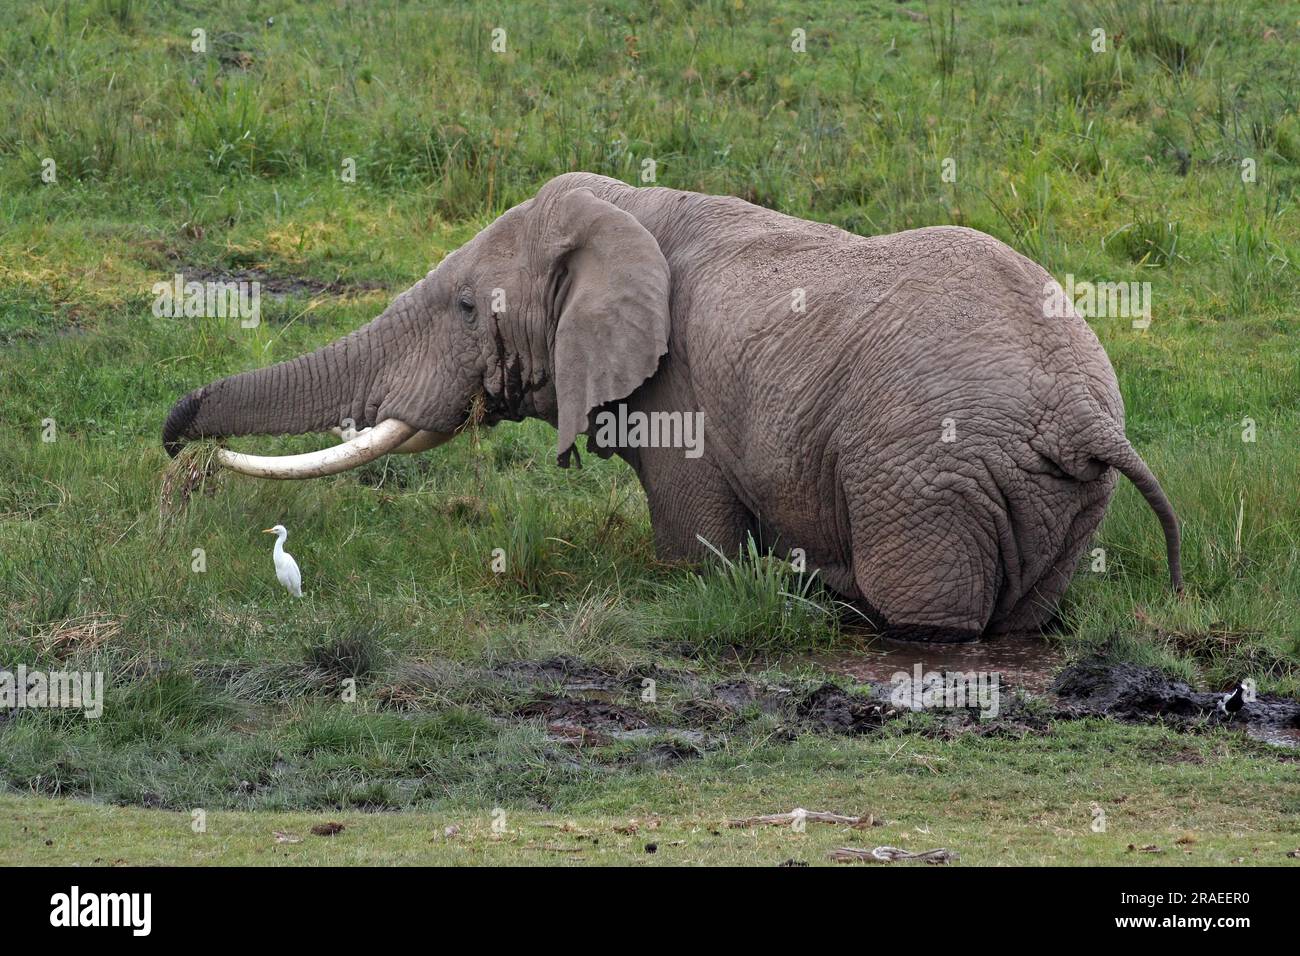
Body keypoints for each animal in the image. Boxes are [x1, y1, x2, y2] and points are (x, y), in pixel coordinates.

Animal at [163, 172, 1182, 642]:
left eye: (463, 309)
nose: (174, 439)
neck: (635, 206)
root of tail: (1085, 417)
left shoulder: (678, 390)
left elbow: (692, 542)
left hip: (928, 477)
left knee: (931, 614)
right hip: (1054, 496)